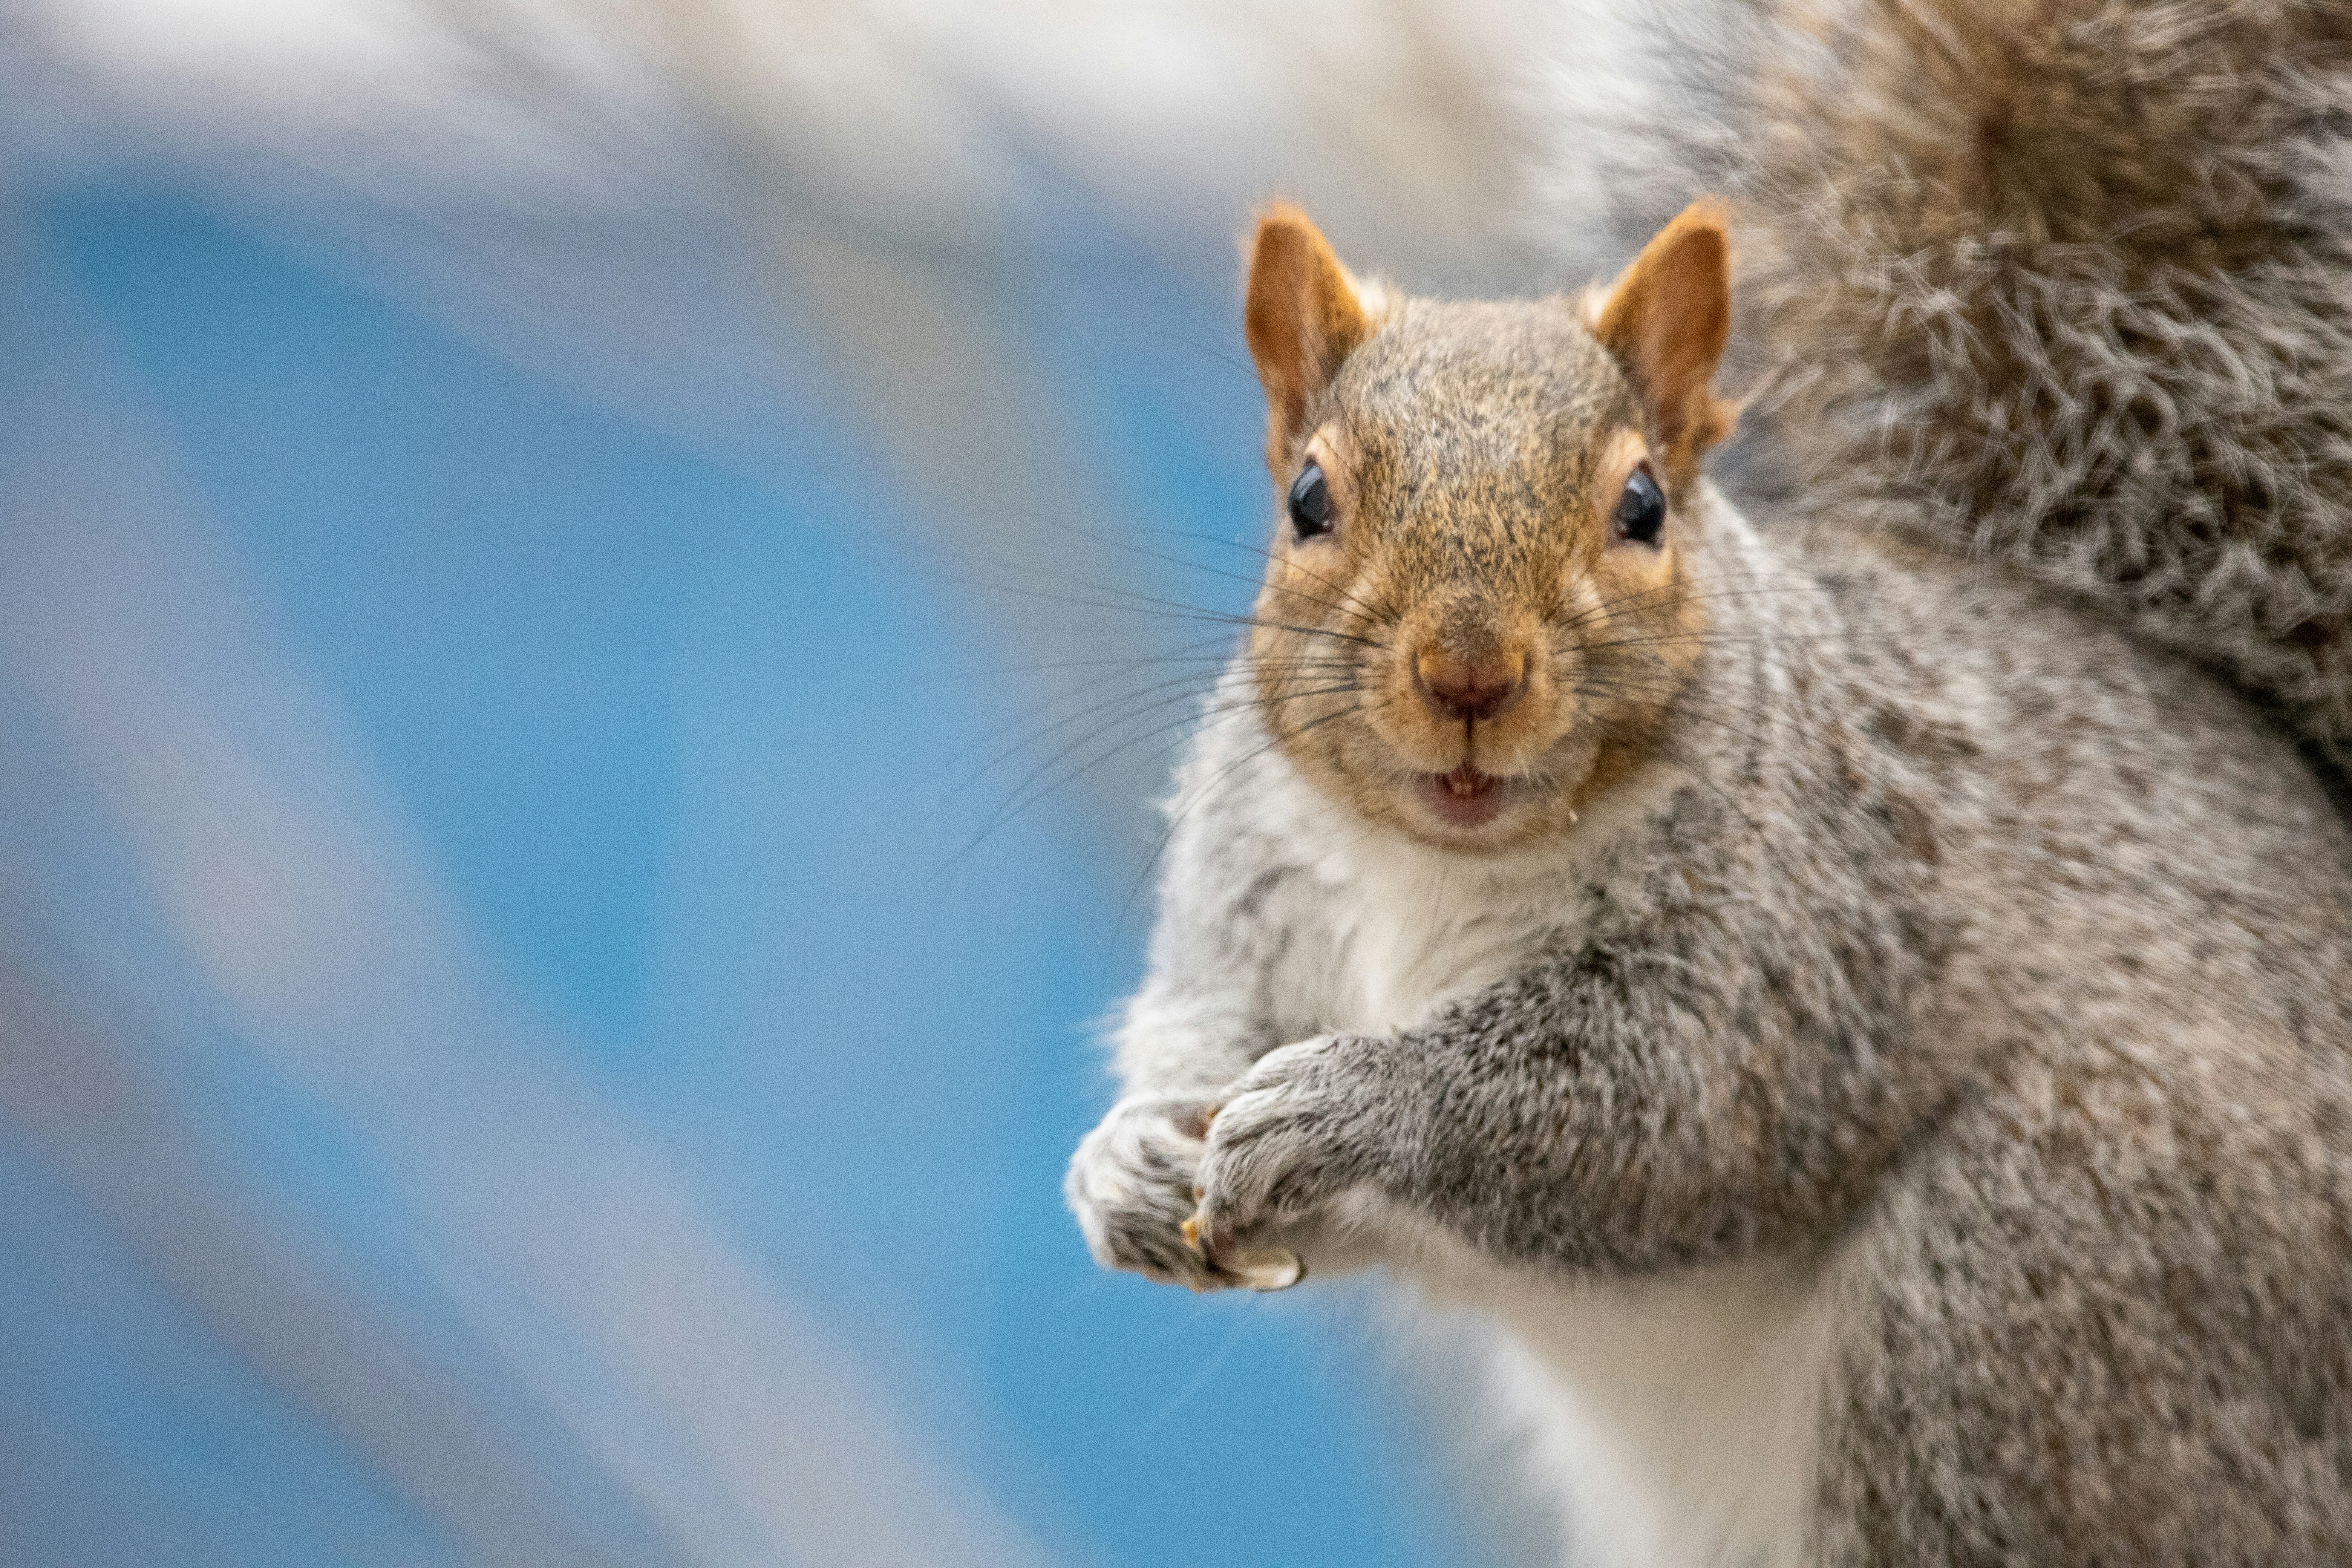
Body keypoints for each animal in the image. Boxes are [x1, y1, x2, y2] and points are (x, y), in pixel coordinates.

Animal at [1065, 0, 2352, 1562]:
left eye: (1641, 507)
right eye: (1307, 498)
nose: (1469, 676)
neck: (1436, 865)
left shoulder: (1803, 936)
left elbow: (1649, 1108)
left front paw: (1351, 1104)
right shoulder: (1253, 889)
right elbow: (1201, 1021)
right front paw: (1127, 1159)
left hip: (2025, 1277)